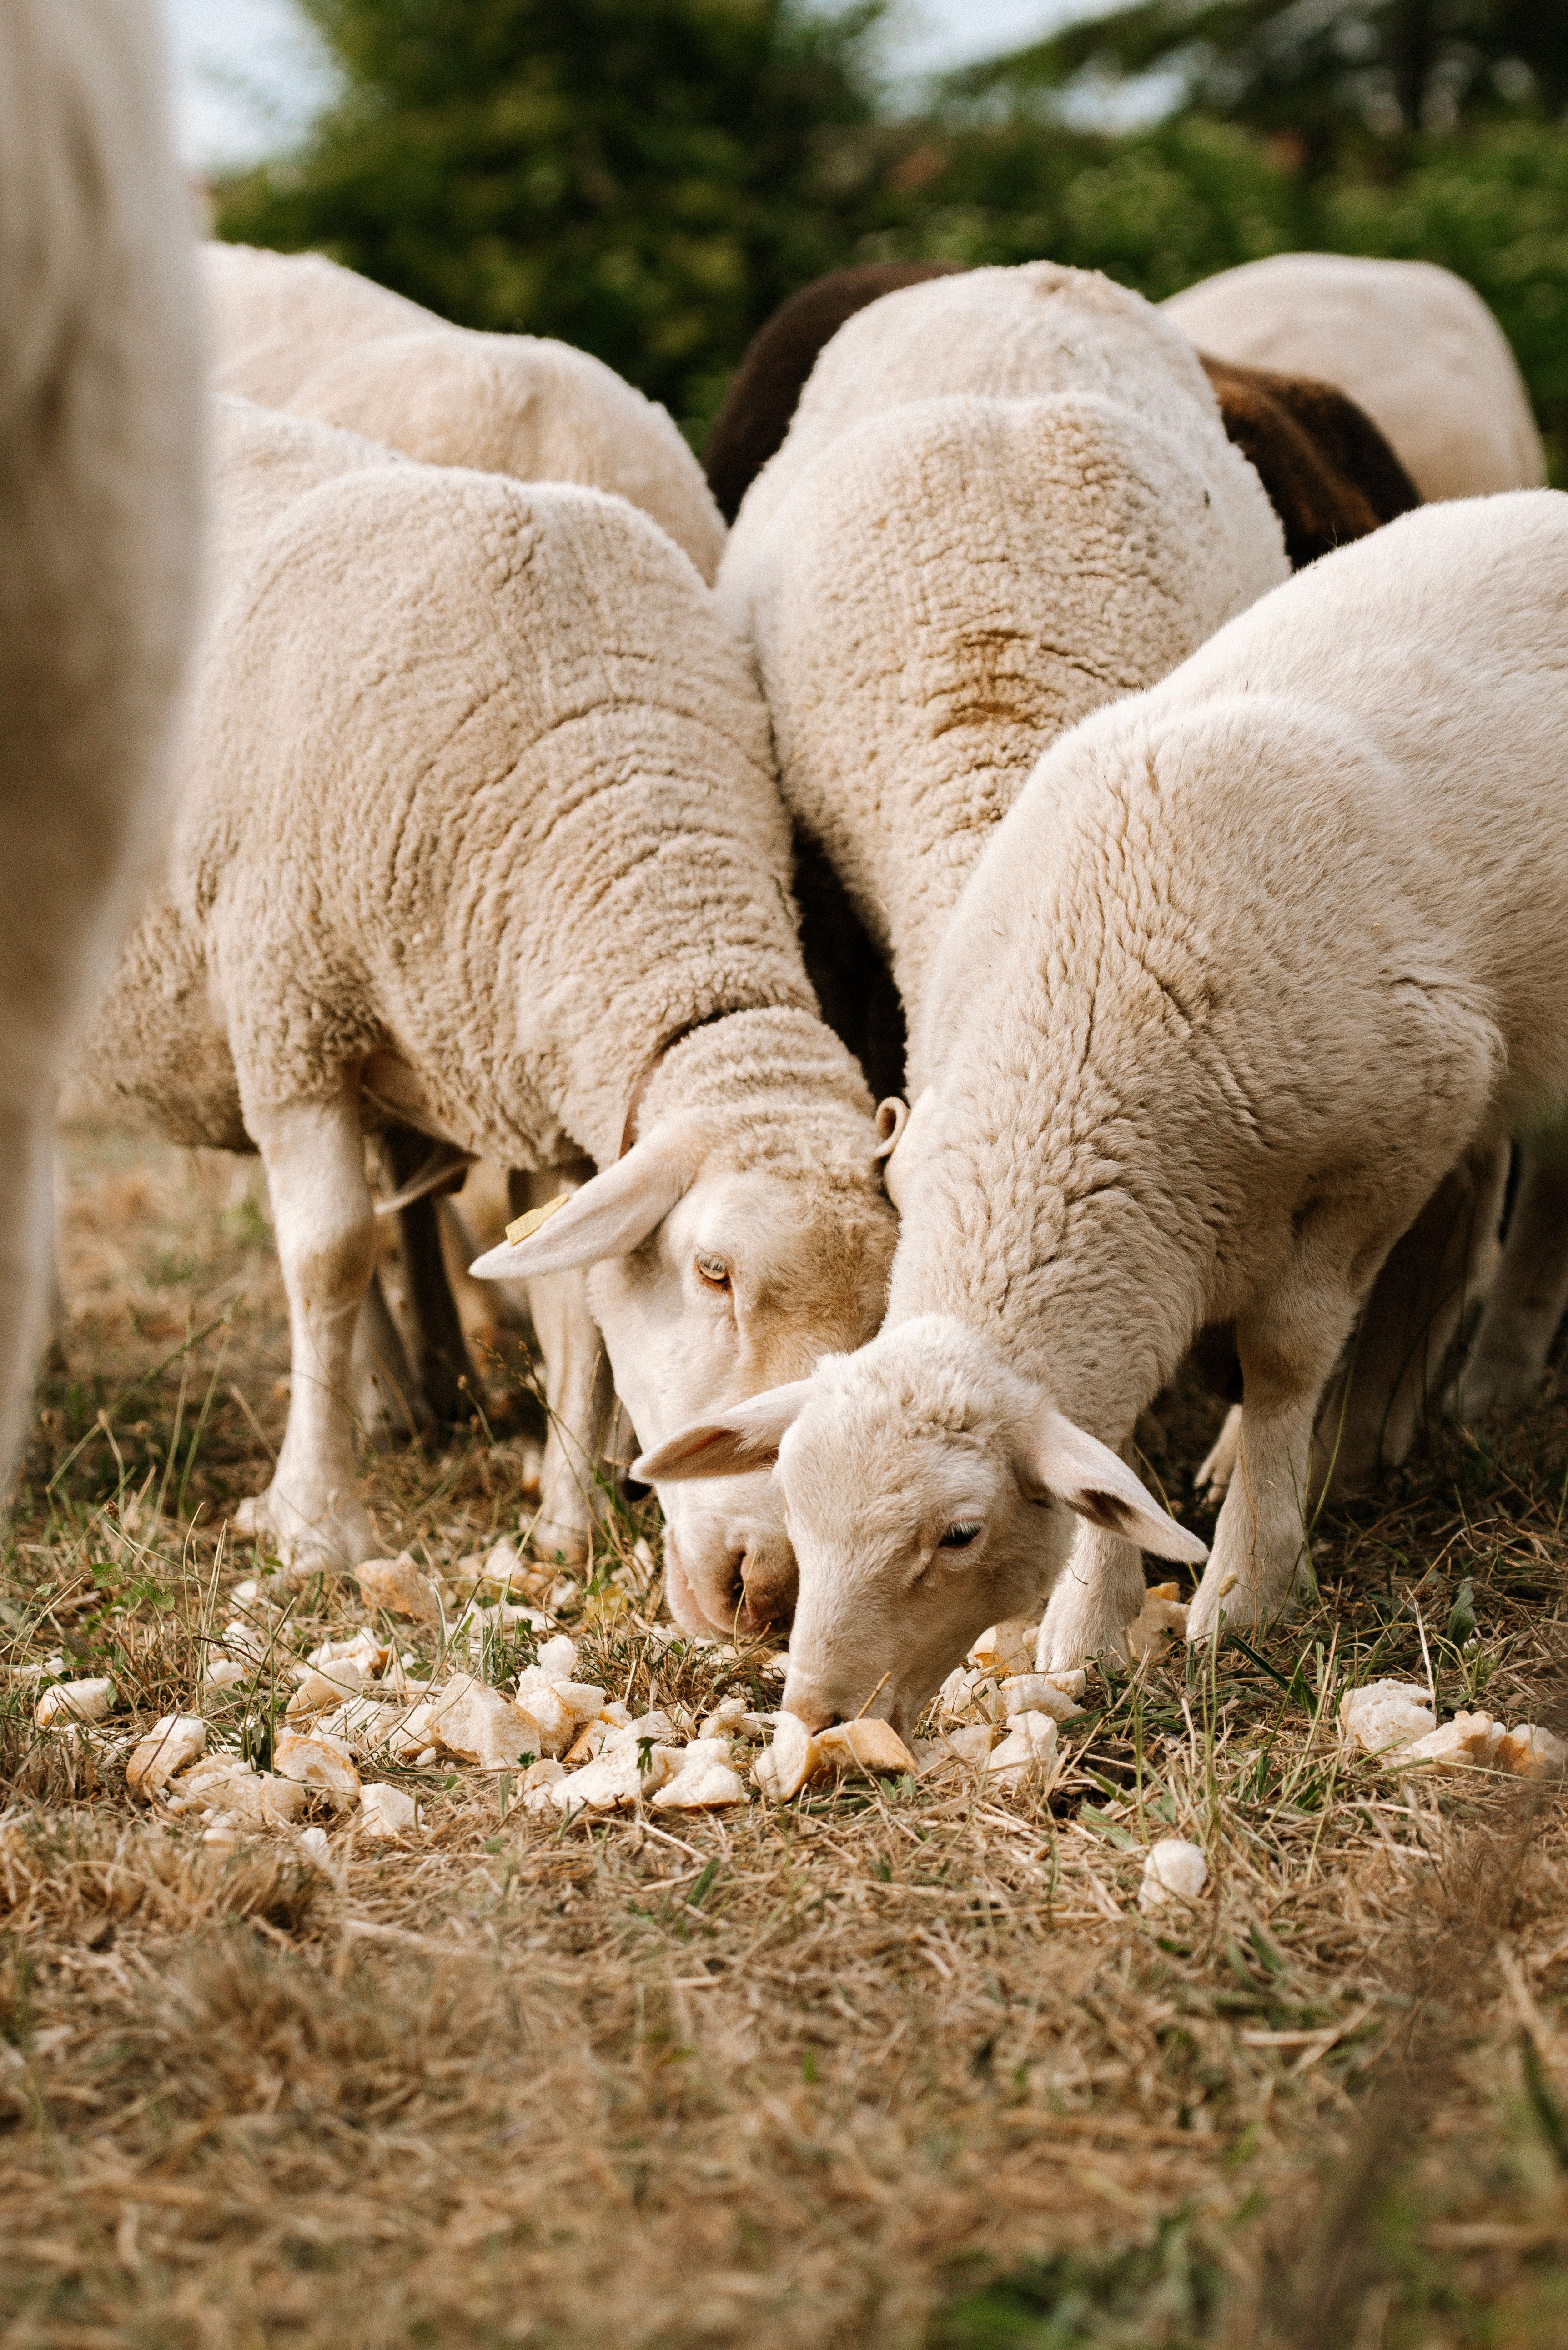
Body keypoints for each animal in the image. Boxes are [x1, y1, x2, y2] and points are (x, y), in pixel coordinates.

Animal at [72, 448, 896, 1628]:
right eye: (714, 1273)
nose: (772, 1590)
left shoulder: (549, 1093)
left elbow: (574, 1310)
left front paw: (566, 1521)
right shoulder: (290, 1018)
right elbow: (327, 1257)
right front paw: (317, 1525)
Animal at [638, 493, 1568, 1727]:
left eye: (958, 1533)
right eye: (791, 1501)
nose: (819, 1717)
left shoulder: (1398, 1128)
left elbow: (1284, 1354)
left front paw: (1245, 1586)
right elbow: (1106, 1441)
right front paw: (1087, 1627)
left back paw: (1487, 1377)